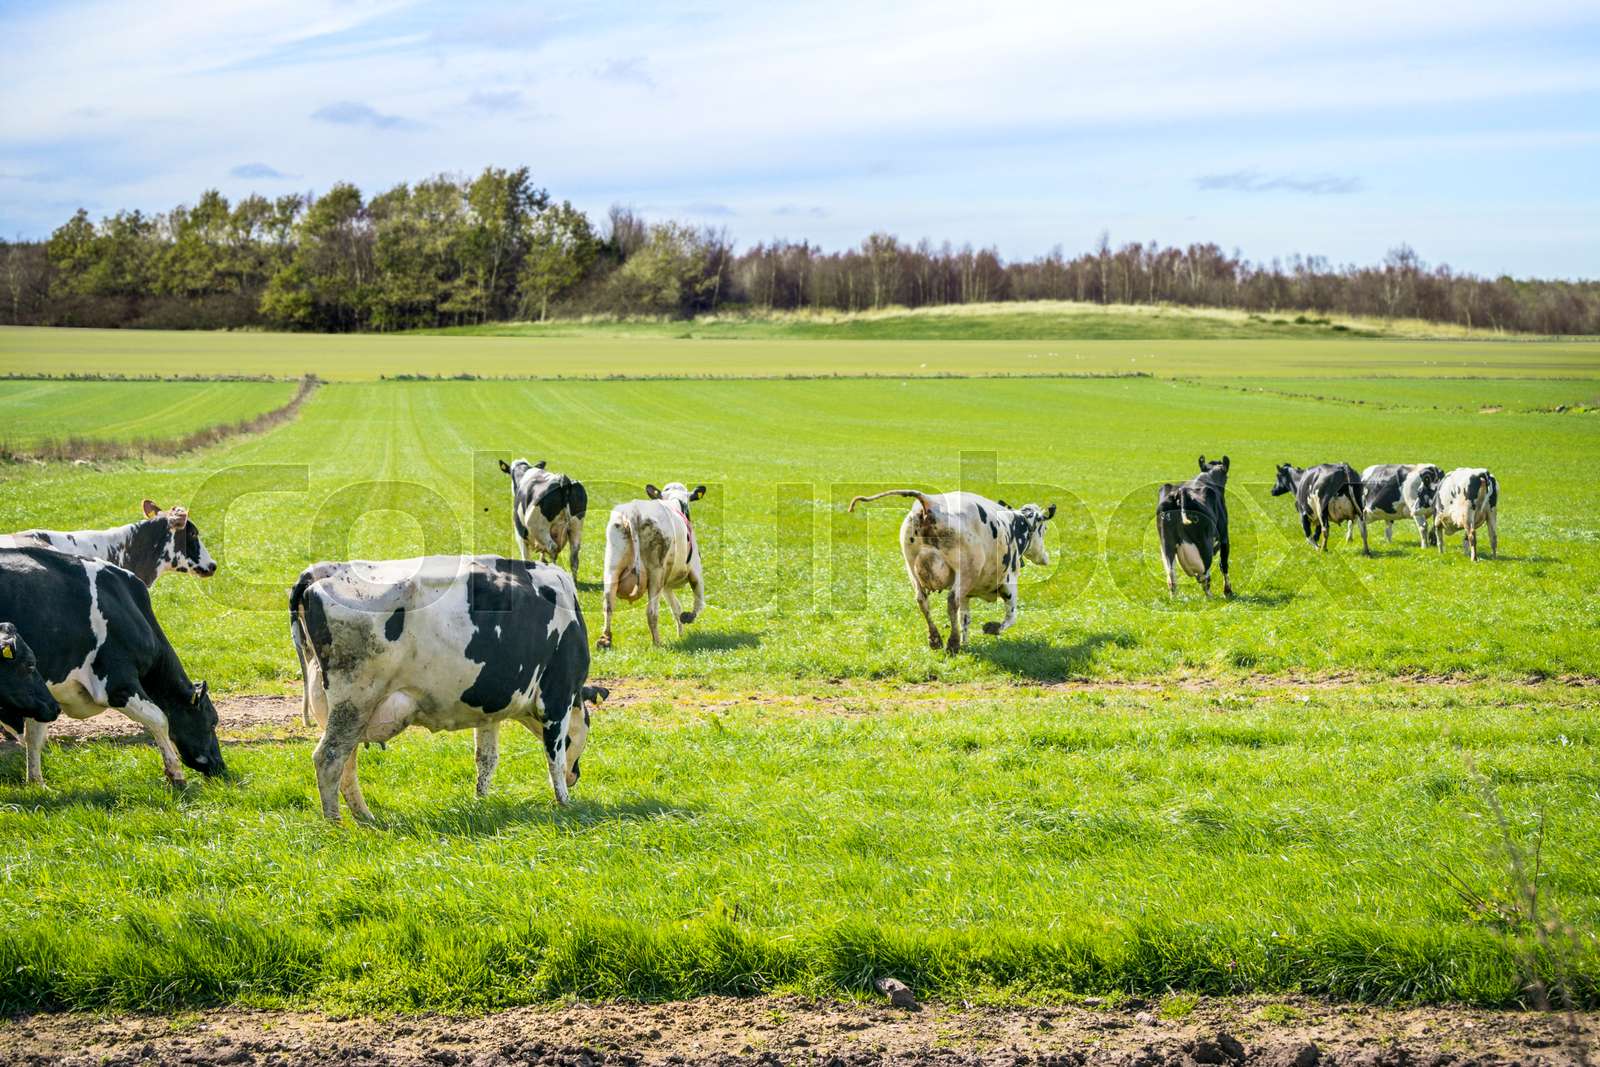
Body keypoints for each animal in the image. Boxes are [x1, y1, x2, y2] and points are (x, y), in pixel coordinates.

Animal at [0, 546, 224, 786]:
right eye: (212, 723)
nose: (221, 767)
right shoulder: (116, 684)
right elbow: (160, 719)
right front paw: (176, 775)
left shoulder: (43, 694)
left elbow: (35, 737)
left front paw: (37, 784)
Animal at [289, 555, 608, 821]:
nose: (577, 775)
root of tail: (323, 571)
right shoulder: (557, 698)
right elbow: (554, 756)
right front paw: (564, 801)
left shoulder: (490, 707)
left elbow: (486, 759)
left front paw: (481, 802)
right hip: (355, 700)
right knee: (329, 758)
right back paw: (335, 823)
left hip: (346, 710)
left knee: (347, 762)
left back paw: (365, 817)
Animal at [598, 483, 707, 649]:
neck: (675, 501)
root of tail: (634, 511)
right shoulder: (695, 570)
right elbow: (698, 602)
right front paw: (687, 618)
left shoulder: (666, 585)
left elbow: (676, 607)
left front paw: (680, 634)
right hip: (656, 572)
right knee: (651, 612)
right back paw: (657, 643)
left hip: (612, 567)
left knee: (608, 604)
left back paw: (605, 640)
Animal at [847, 489, 1056, 653]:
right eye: (1044, 528)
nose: (1045, 558)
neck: (1015, 524)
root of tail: (929, 502)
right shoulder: (1009, 583)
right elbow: (1011, 617)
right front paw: (991, 628)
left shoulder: (968, 595)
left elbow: (965, 619)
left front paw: (966, 643)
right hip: (965, 572)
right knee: (951, 601)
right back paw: (952, 643)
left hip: (912, 569)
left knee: (922, 600)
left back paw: (935, 639)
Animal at [1157, 455, 1233, 598]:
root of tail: (1180, 493)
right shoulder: (1225, 536)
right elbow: (1224, 564)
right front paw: (1228, 591)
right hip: (1204, 544)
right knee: (1205, 574)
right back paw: (1210, 595)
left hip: (1166, 543)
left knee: (1171, 575)